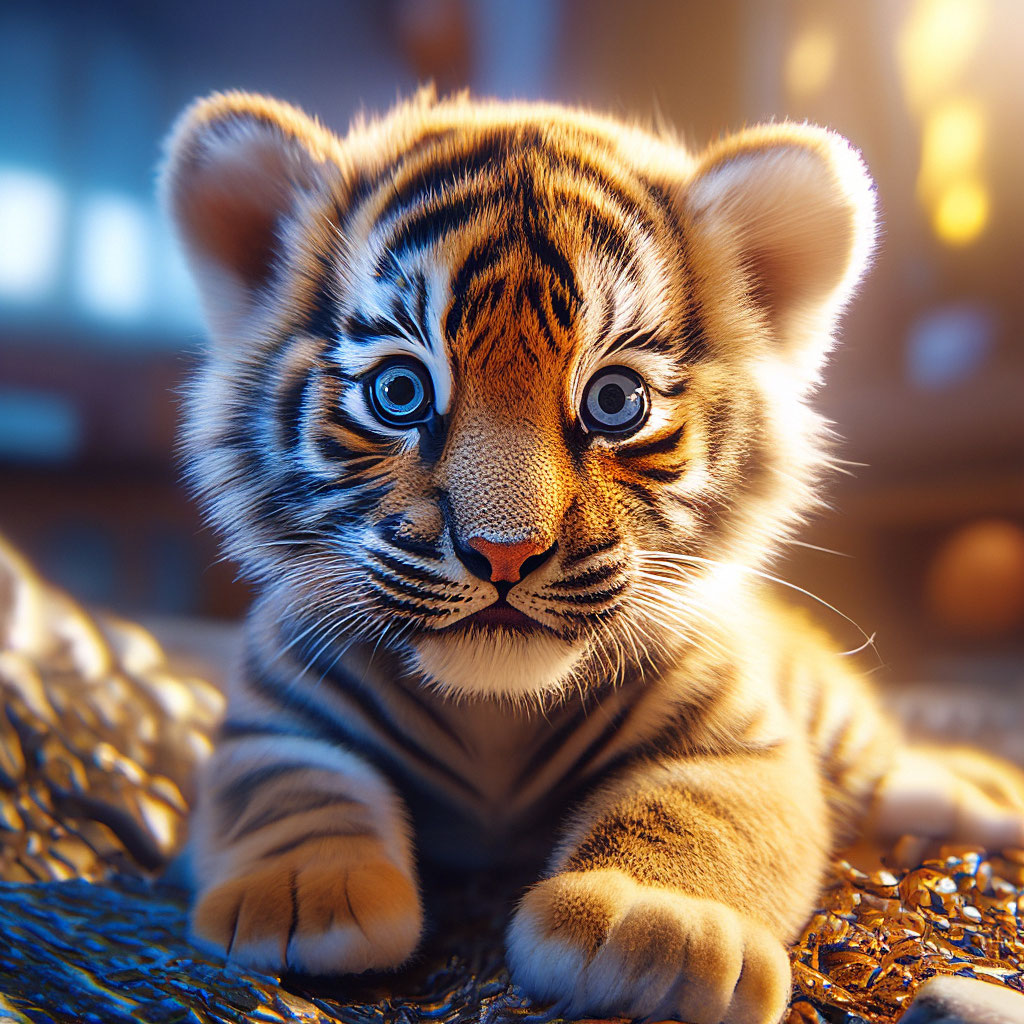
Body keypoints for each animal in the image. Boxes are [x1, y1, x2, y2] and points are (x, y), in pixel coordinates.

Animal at [162, 88, 1024, 1024]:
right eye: (399, 392)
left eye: (616, 402)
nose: (504, 555)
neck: (493, 715)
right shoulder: (273, 714)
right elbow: (289, 787)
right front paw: (300, 897)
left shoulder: (741, 743)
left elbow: (697, 813)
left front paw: (654, 928)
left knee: (886, 761)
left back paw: (982, 791)